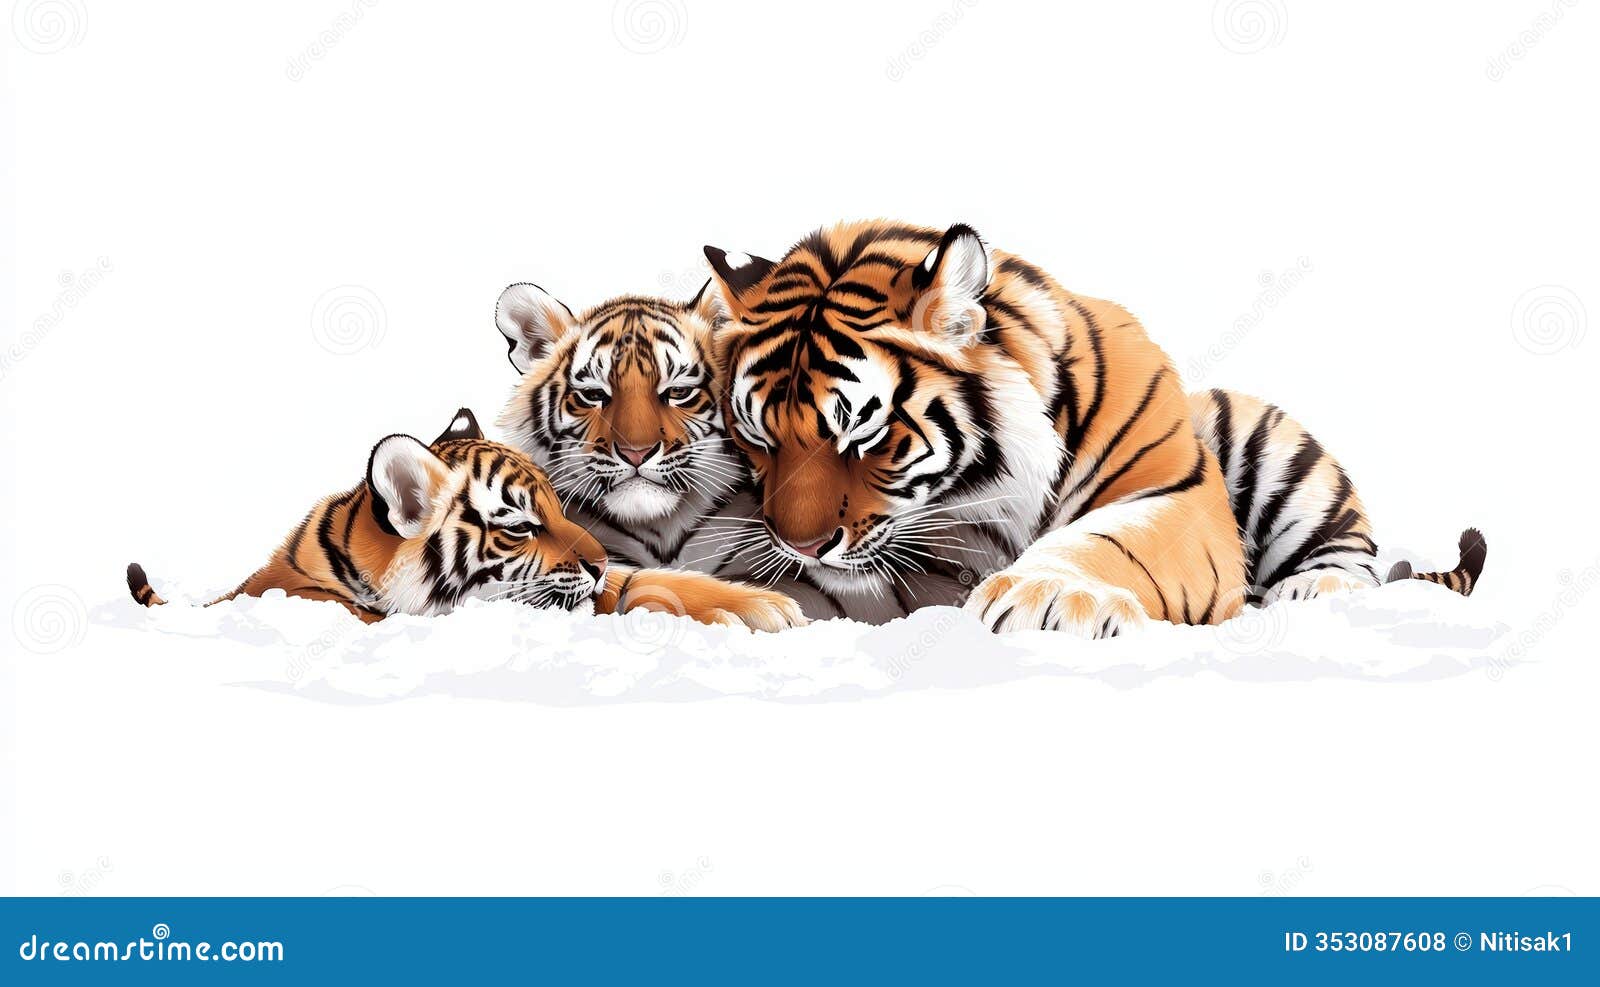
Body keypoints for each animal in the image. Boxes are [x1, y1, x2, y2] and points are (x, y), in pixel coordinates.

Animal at [700, 219, 1483, 637]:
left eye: (864, 436)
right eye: (760, 439)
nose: (799, 546)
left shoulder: (1177, 496)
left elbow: (1107, 541)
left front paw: (1042, 597)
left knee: (1354, 558)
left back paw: (1310, 592)